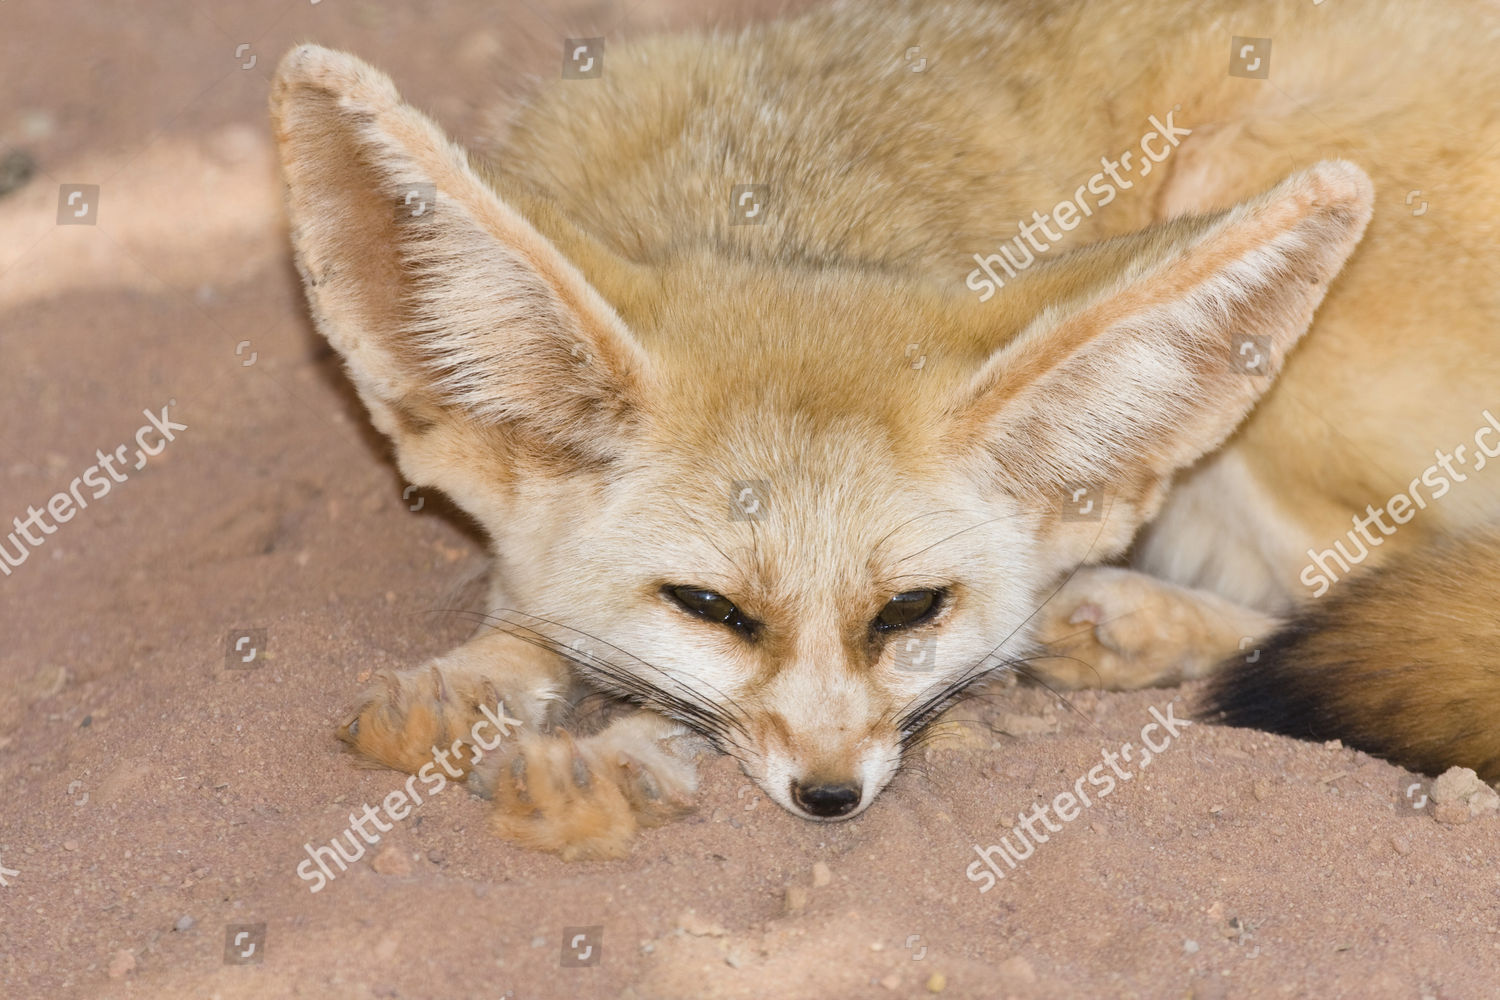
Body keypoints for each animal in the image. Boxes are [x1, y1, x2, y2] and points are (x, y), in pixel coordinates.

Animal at [269, 0, 1500, 859]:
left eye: (909, 610)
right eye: (711, 607)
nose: (830, 797)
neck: (779, 189)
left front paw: (621, 757)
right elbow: (536, 614)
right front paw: (476, 677)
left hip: (1235, 185)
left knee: (1372, 581)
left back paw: (1133, 620)